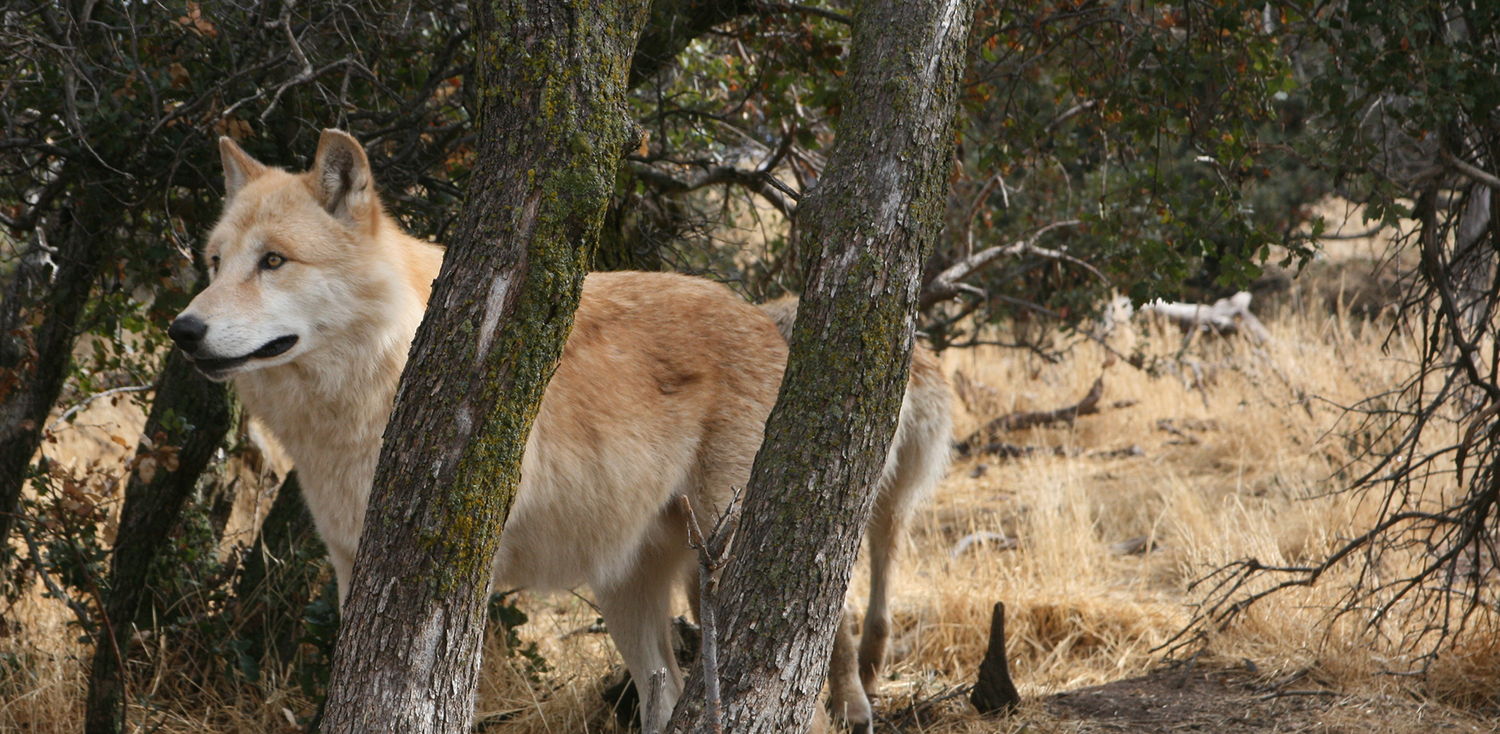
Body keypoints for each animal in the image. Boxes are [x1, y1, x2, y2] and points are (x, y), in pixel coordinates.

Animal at [169, 130, 951, 732]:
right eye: (215, 262)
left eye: (274, 261)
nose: (184, 330)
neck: (381, 372)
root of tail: (766, 319)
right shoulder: (350, 567)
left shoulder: (459, 573)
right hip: (629, 589)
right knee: (667, 692)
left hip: (720, 567)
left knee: (812, 668)